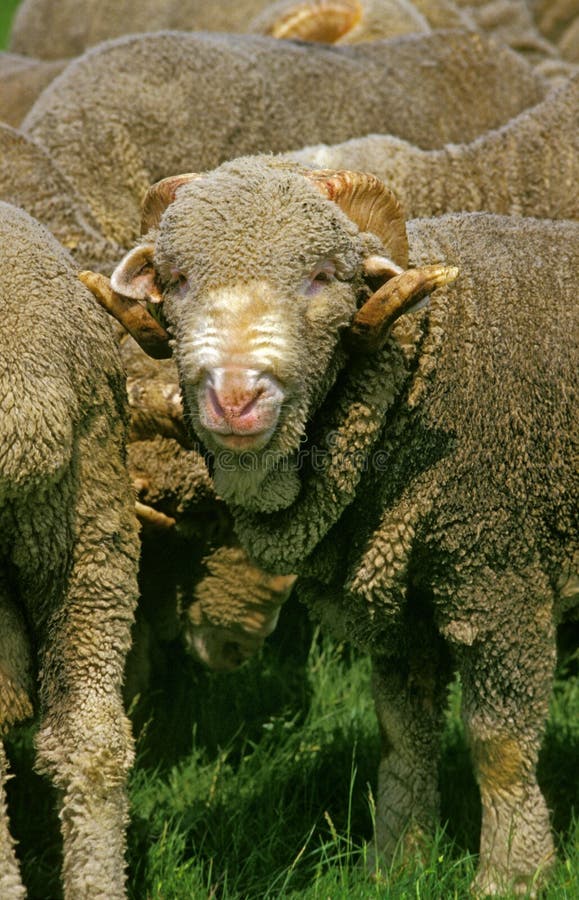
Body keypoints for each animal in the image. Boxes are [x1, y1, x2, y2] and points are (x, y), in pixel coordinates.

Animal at [107, 157, 578, 895]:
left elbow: (499, 746)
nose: (235, 399)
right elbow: (401, 737)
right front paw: (396, 863)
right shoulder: (400, 609)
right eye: (176, 279)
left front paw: (512, 875)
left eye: (324, 275)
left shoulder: (498, 577)